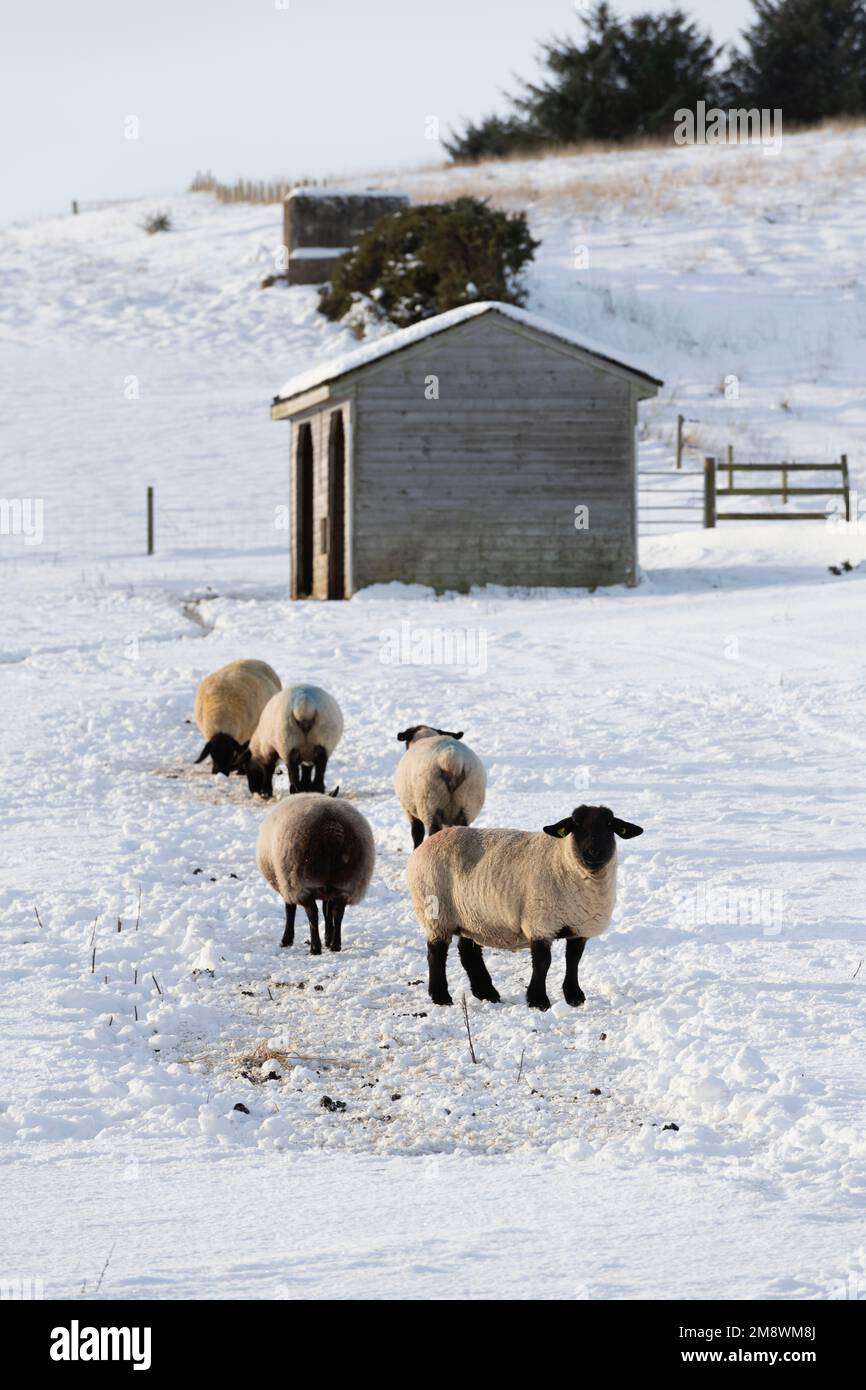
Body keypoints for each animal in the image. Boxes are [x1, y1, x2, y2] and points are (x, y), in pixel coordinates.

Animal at [256, 791, 375, 954]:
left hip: (298, 881)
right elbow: (327, 911)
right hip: (346, 883)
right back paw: (335, 945)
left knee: (312, 913)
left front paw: (286, 940)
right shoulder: (329, 890)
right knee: (338, 913)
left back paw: (315, 947)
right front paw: (328, 938)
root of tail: (332, 828)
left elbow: (290, 909)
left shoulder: (286, 884)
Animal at [407, 804, 643, 1010]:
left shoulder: (578, 926)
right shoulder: (540, 922)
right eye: (576, 824)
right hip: (437, 912)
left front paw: (575, 997)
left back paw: (486, 993)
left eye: (610, 825)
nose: (593, 852)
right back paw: (441, 997)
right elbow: (543, 962)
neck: (564, 861)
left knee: (468, 952)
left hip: (471, 914)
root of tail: (425, 844)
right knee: (436, 953)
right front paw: (538, 1001)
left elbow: (573, 960)